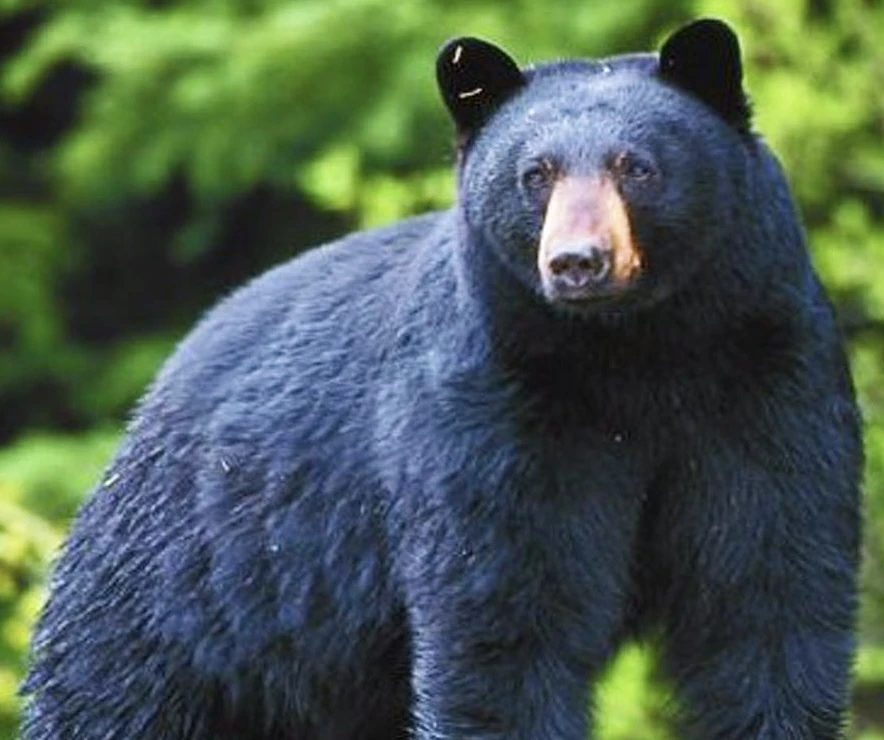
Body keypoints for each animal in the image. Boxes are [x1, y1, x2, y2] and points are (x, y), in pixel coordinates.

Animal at [21, 18, 861, 740]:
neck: (636, 352)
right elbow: (504, 624)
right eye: (534, 174)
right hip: (187, 593)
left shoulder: (765, 383)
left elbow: (767, 599)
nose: (577, 262)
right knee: (107, 698)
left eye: (637, 166)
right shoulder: (492, 413)